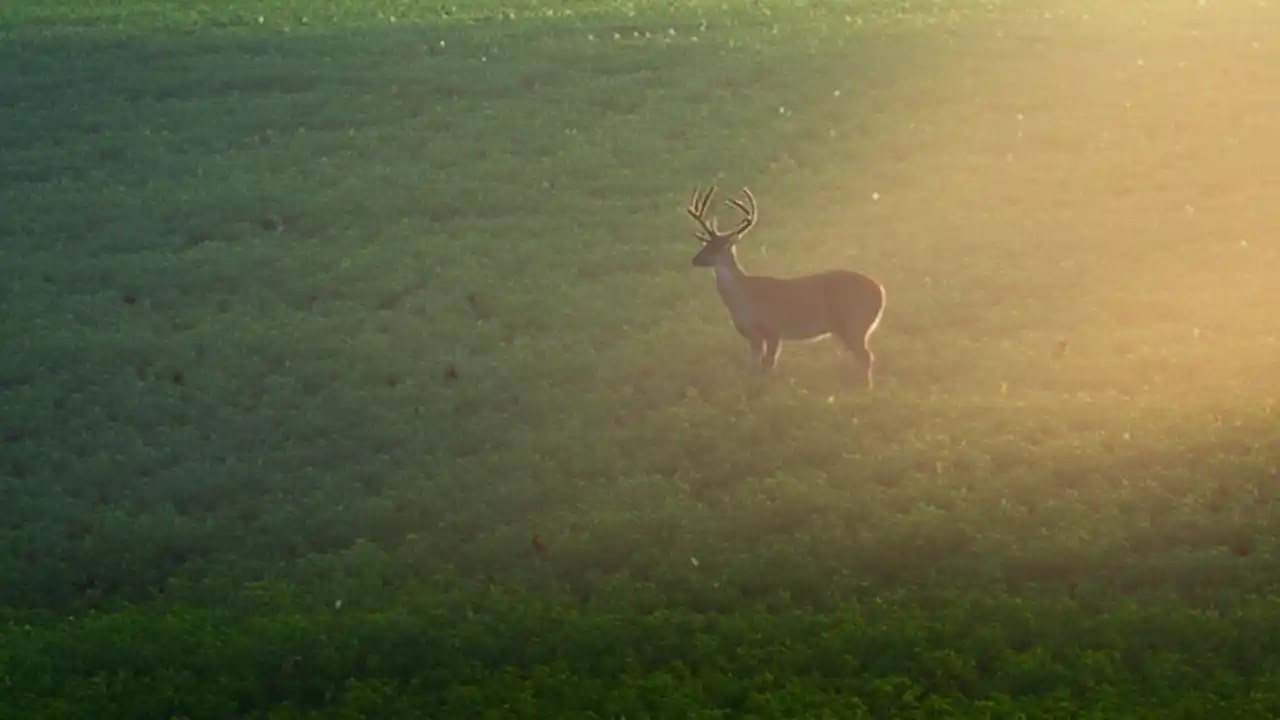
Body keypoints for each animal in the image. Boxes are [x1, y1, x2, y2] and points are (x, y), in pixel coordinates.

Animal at [686, 186, 886, 389]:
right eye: (706, 245)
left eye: (718, 247)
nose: (695, 260)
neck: (744, 297)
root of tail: (881, 291)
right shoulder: (754, 337)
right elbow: (751, 368)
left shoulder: (773, 330)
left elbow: (768, 365)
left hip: (854, 323)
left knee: (866, 357)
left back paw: (866, 389)